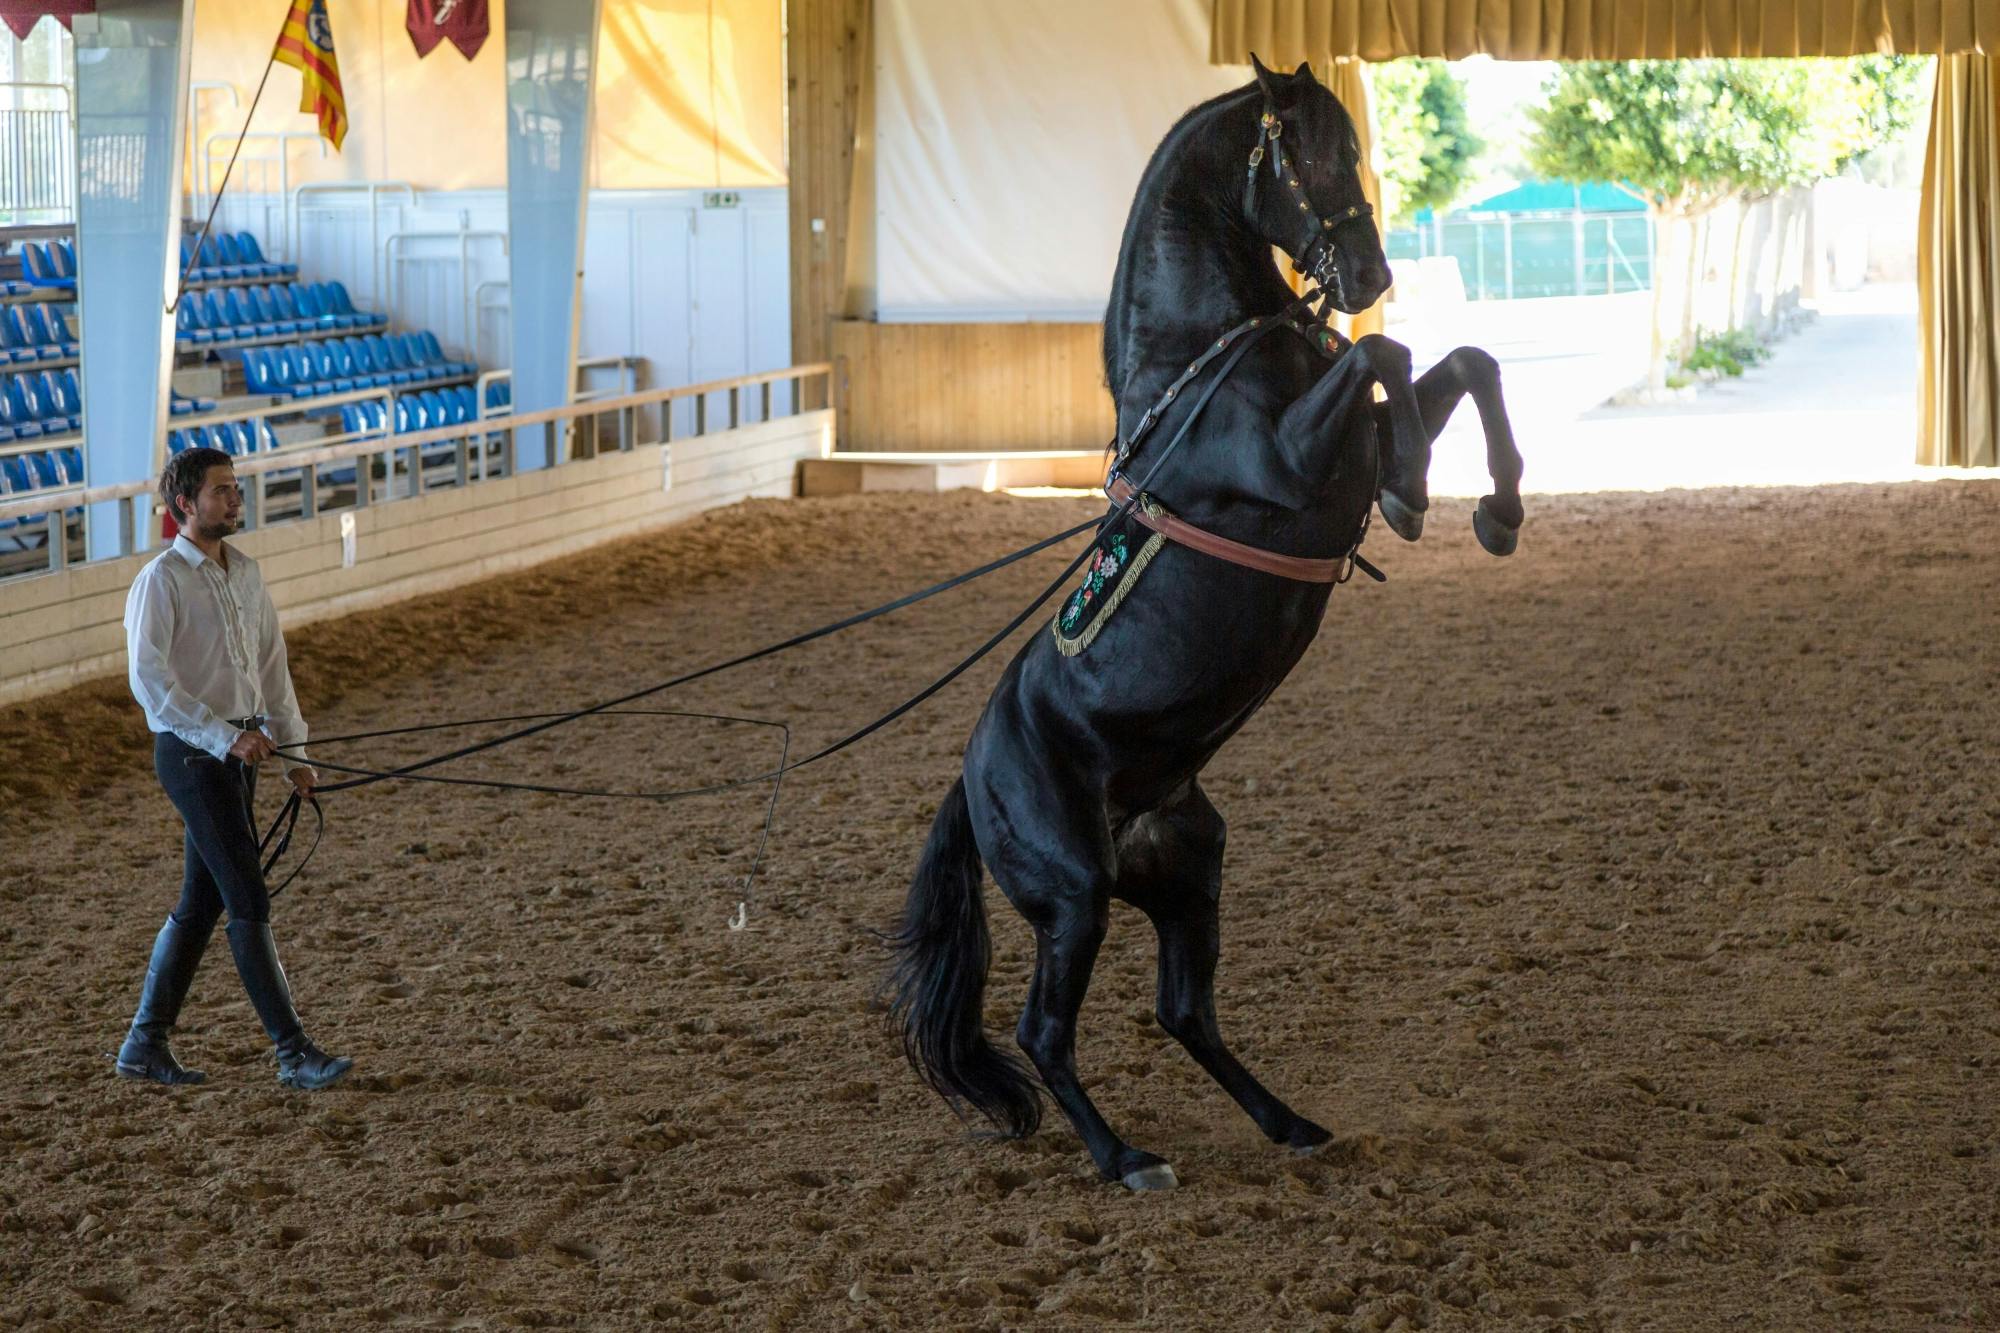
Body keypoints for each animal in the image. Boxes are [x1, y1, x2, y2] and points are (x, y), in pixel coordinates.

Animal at [888, 56, 1525, 1191]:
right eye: (1311, 150)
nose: (1367, 270)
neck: (1207, 360)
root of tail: (971, 776)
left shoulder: (1340, 430)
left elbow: (1460, 360)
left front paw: (1488, 508)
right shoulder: (1291, 459)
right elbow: (1388, 355)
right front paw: (1414, 486)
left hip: (1188, 866)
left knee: (1184, 1009)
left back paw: (1291, 1122)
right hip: (1074, 894)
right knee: (1044, 1029)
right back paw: (1126, 1157)